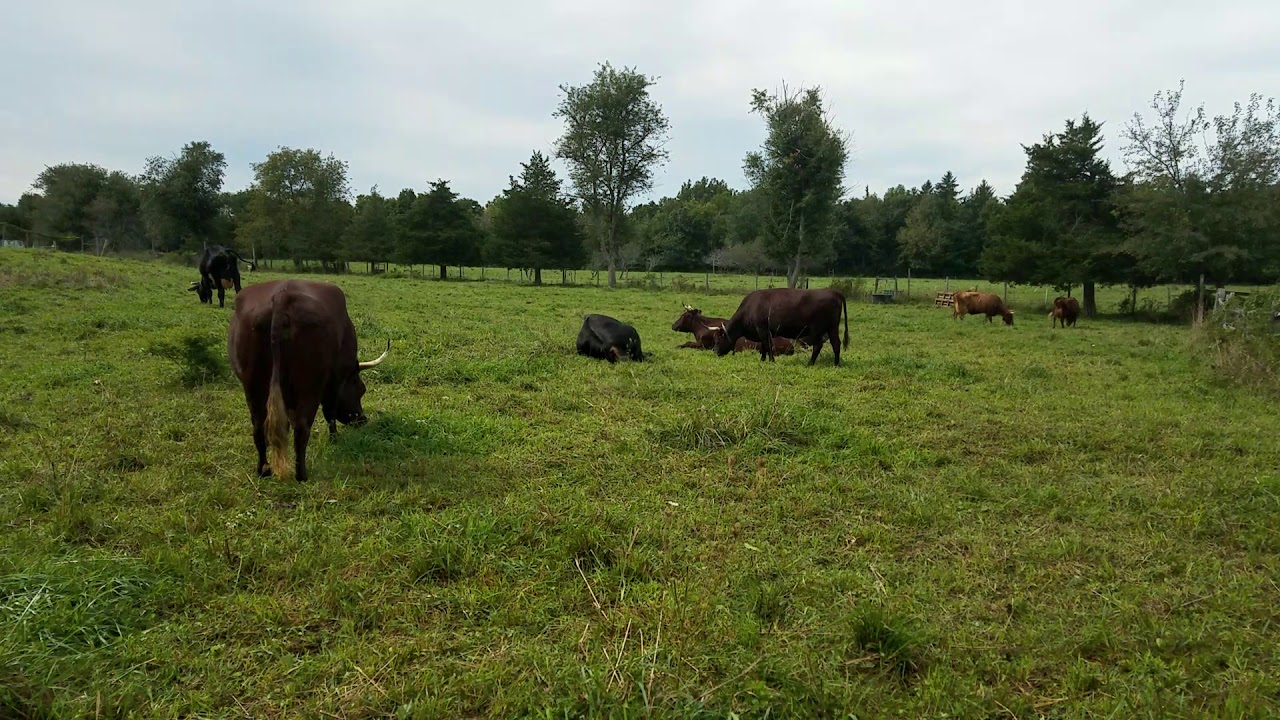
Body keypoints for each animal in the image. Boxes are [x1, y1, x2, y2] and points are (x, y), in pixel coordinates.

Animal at [227, 279, 389, 482]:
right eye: (362, 389)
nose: (362, 420)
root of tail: (282, 297)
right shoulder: (334, 381)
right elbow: (329, 412)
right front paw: (334, 438)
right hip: (309, 388)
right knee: (302, 428)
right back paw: (301, 474)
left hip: (253, 387)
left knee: (259, 427)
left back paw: (264, 470)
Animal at [712, 288, 849, 366]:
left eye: (719, 340)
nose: (714, 351)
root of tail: (834, 292)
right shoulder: (764, 332)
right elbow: (763, 346)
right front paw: (762, 360)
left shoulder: (763, 329)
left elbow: (767, 345)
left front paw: (771, 361)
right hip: (832, 327)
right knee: (836, 344)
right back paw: (836, 364)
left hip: (816, 329)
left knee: (818, 346)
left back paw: (810, 363)